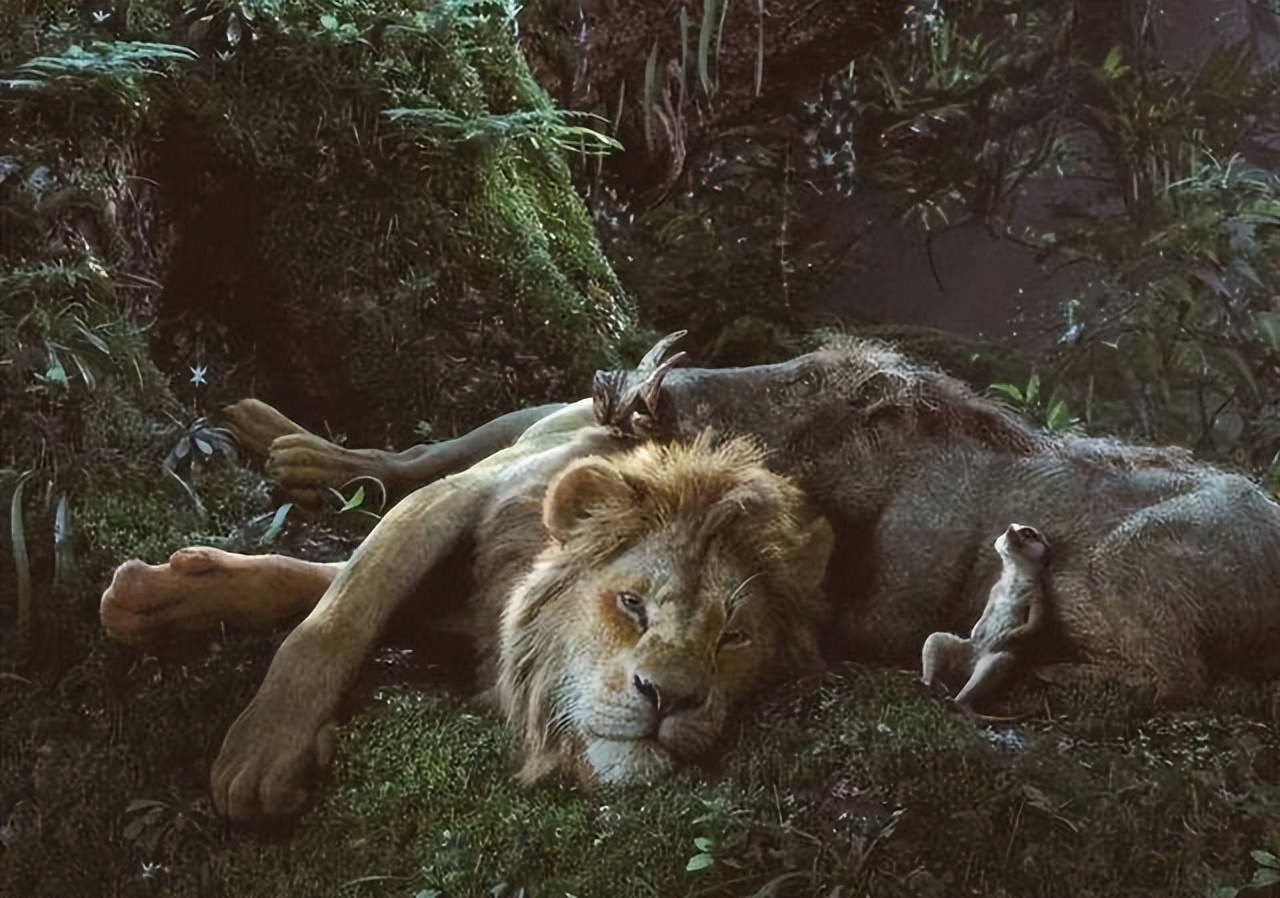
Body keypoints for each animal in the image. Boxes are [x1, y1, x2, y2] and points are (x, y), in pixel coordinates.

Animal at [101, 404, 831, 823]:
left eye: (735, 638)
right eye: (632, 603)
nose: (671, 698)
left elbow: (313, 583)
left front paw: (164, 595)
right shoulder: (458, 499)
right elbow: (341, 612)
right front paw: (264, 752)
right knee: (415, 457)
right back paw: (301, 450)